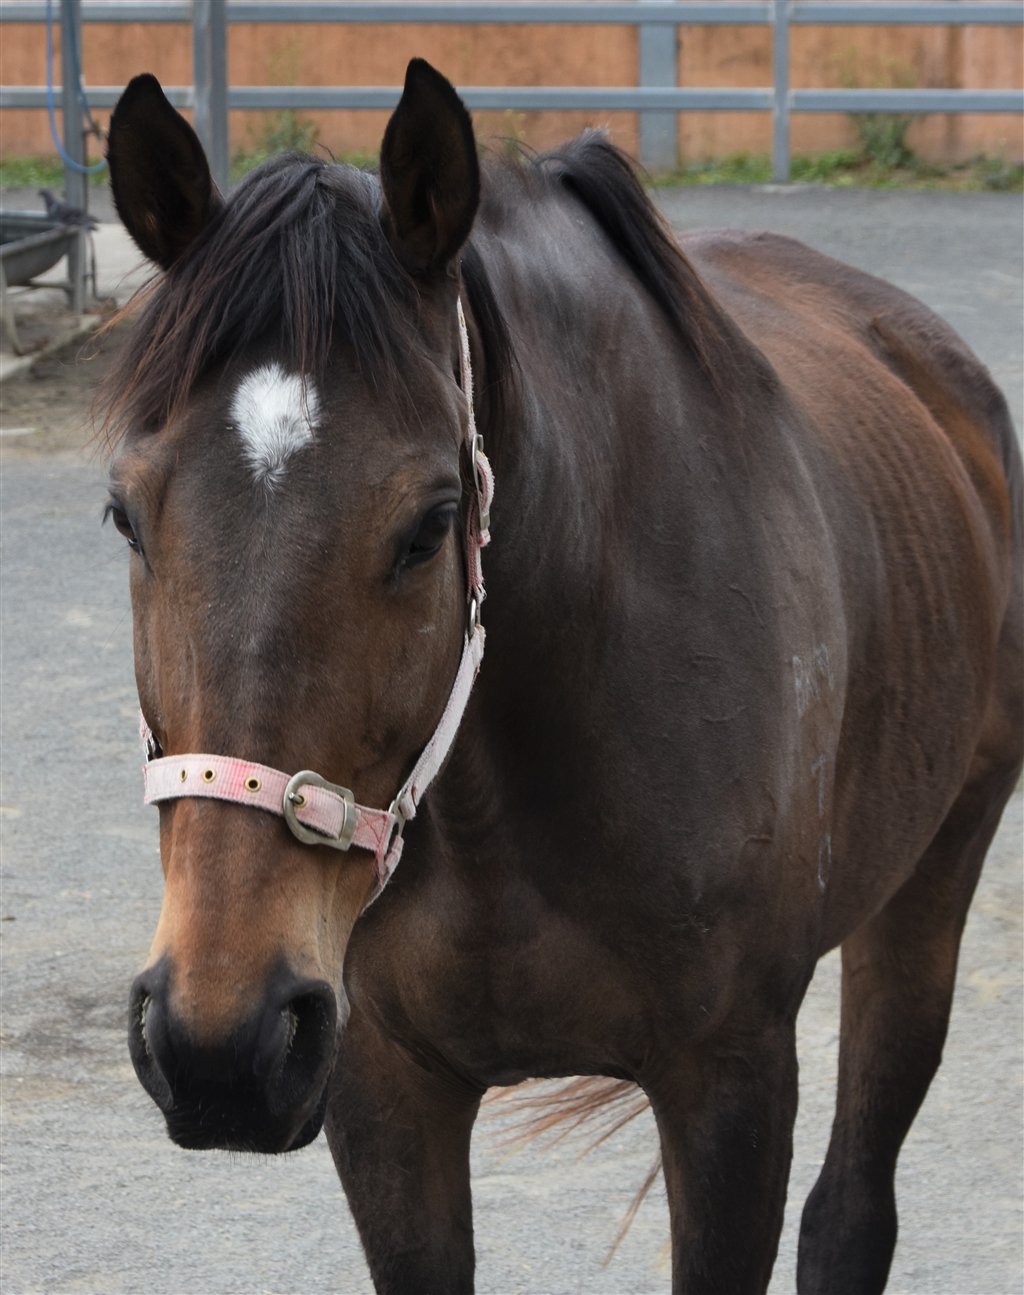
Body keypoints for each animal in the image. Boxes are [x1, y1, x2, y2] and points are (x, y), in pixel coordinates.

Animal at [103, 61, 1022, 1295]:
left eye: (430, 523)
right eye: (124, 513)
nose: (218, 1041)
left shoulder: (730, 1079)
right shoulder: (383, 1084)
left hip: (930, 883)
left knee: (852, 1210)